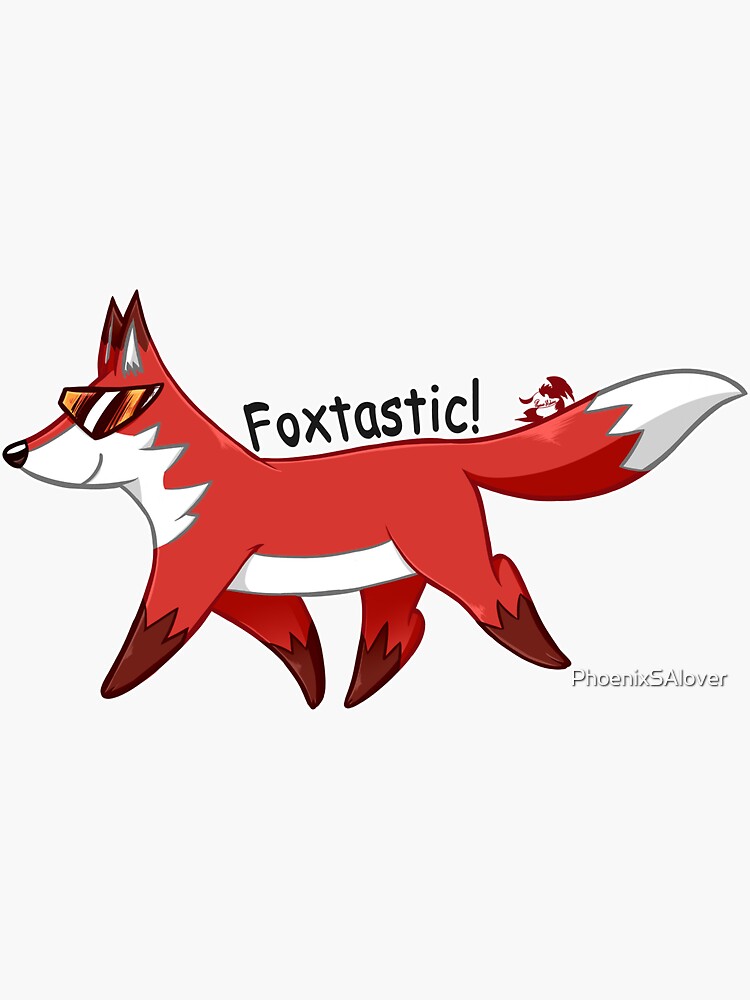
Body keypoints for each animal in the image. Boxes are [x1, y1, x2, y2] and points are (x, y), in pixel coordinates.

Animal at [3, 291, 745, 707]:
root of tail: (445, 449)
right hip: (394, 576)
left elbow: (143, 642)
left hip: (447, 561)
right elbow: (293, 638)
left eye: (89, 414)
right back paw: (361, 692)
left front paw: (112, 689)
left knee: (499, 584)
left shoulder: (191, 578)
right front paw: (314, 689)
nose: (14, 453)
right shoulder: (234, 590)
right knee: (402, 631)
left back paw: (544, 657)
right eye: (62, 408)